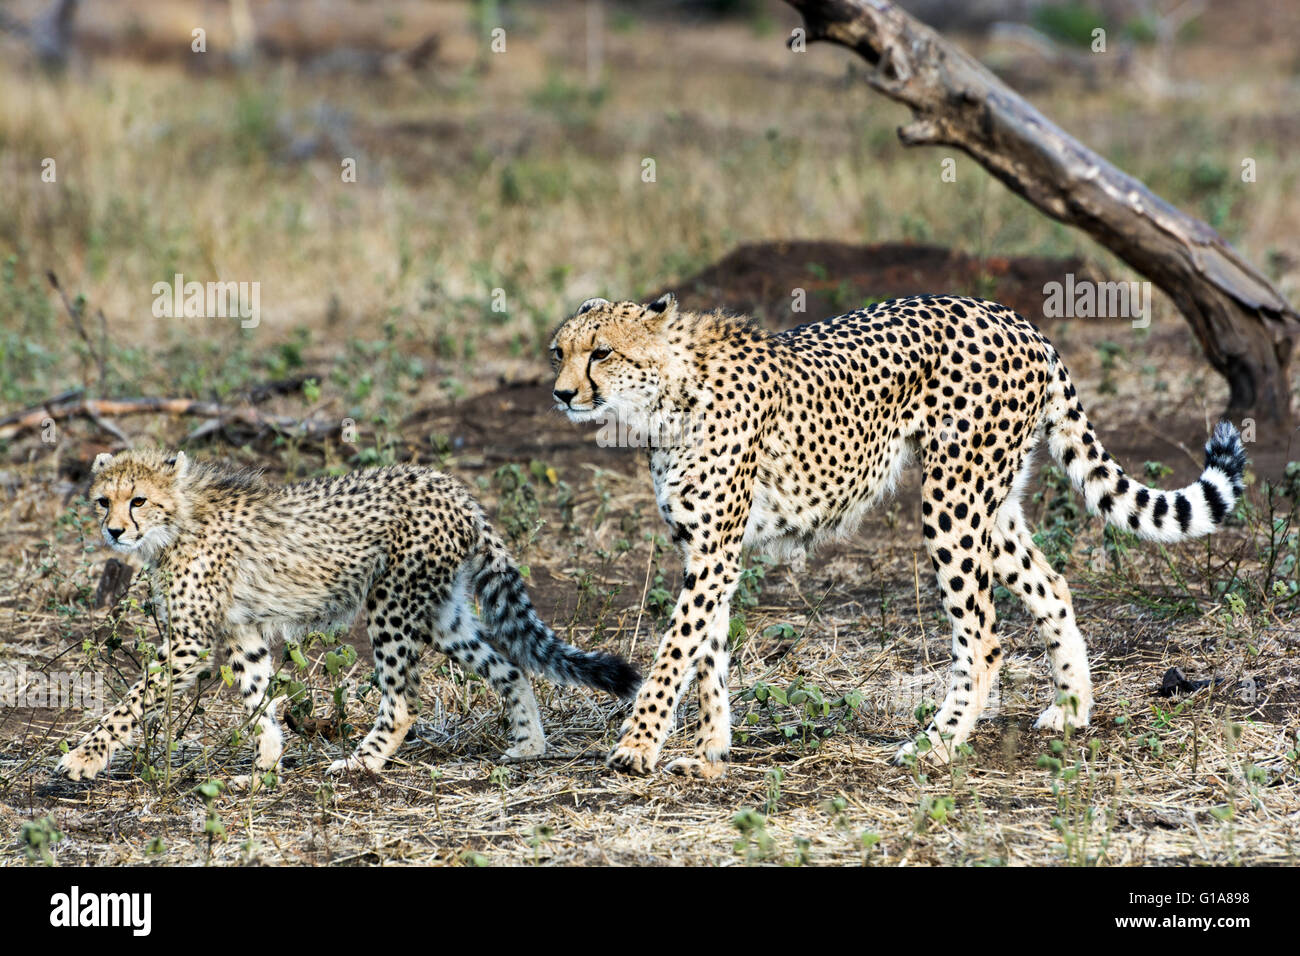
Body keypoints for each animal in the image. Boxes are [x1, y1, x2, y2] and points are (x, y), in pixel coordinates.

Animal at [57, 448, 638, 783]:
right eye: (103, 500)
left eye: (138, 500)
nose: (113, 531)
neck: (178, 519)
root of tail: (450, 485)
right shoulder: (243, 631)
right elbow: (257, 696)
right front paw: (266, 765)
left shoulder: (189, 642)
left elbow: (131, 701)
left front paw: (84, 757)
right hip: (442, 614)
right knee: (509, 666)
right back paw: (529, 744)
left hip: (391, 602)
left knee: (404, 700)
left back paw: (364, 761)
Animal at [549, 291, 1246, 778]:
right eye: (560, 351)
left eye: (602, 352)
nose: (560, 393)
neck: (665, 396)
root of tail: (1015, 317)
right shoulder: (709, 548)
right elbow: (708, 655)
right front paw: (708, 751)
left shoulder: (716, 551)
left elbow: (675, 651)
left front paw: (636, 746)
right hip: (991, 506)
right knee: (1051, 584)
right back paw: (1071, 707)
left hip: (953, 502)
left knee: (983, 639)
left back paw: (936, 745)